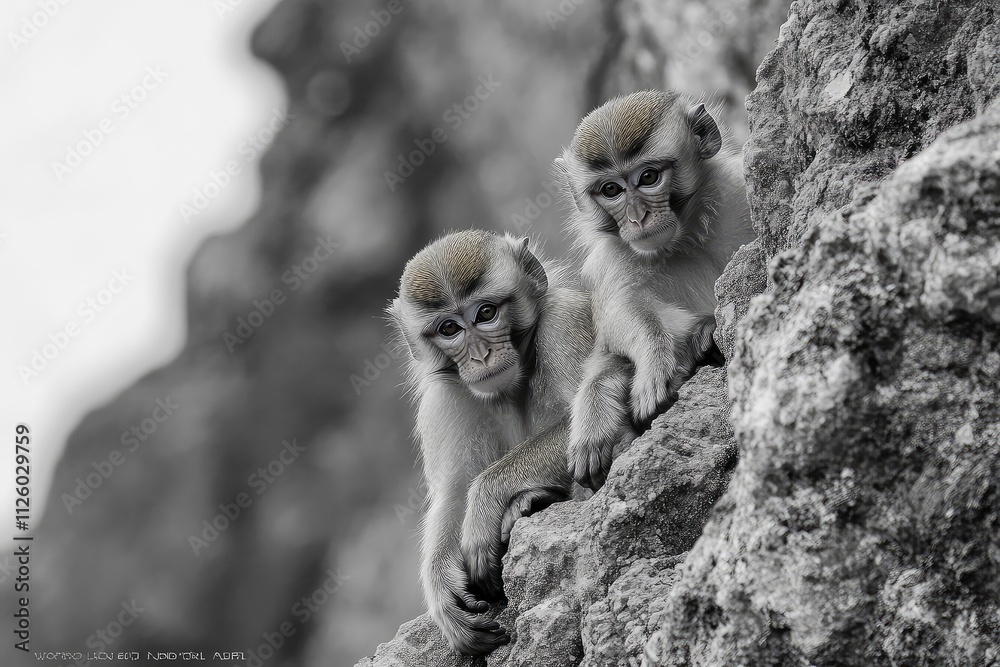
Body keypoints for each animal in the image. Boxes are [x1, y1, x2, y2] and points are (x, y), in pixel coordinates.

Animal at [388, 229, 633, 655]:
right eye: (449, 329)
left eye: (486, 313)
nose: (480, 355)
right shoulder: (443, 397)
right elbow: (454, 490)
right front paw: (441, 583)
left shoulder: (563, 320)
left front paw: (484, 500)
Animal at [556, 89, 754, 490]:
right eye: (612, 190)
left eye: (648, 177)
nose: (637, 217)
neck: (685, 238)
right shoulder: (614, 259)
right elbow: (623, 314)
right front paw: (654, 359)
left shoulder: (735, 191)